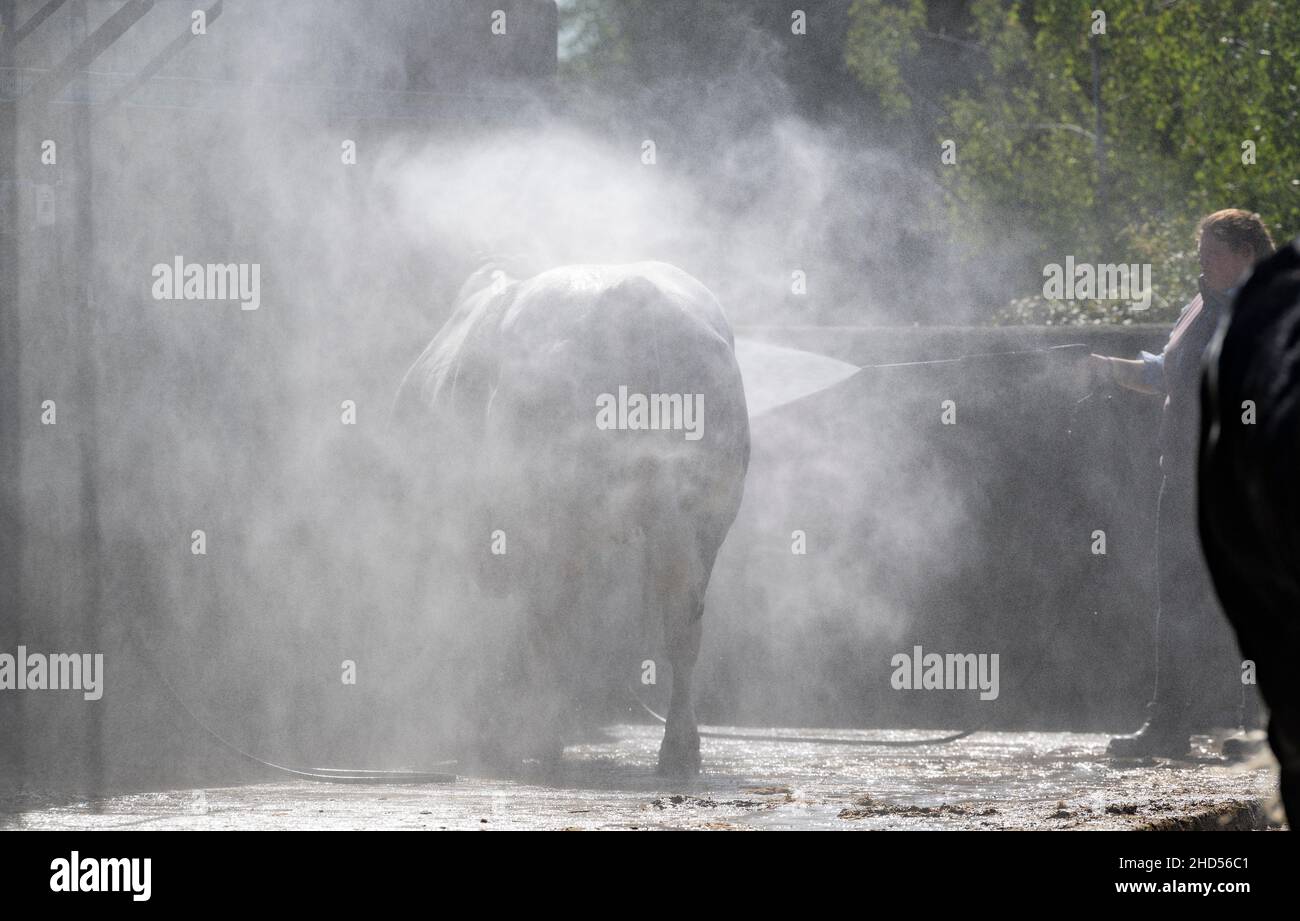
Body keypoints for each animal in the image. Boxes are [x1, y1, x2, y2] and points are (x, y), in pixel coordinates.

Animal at [391, 261, 750, 776]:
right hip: (696, 518)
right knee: (681, 623)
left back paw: (541, 738)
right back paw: (678, 750)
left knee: (549, 618)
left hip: (552, 515)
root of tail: (635, 298)